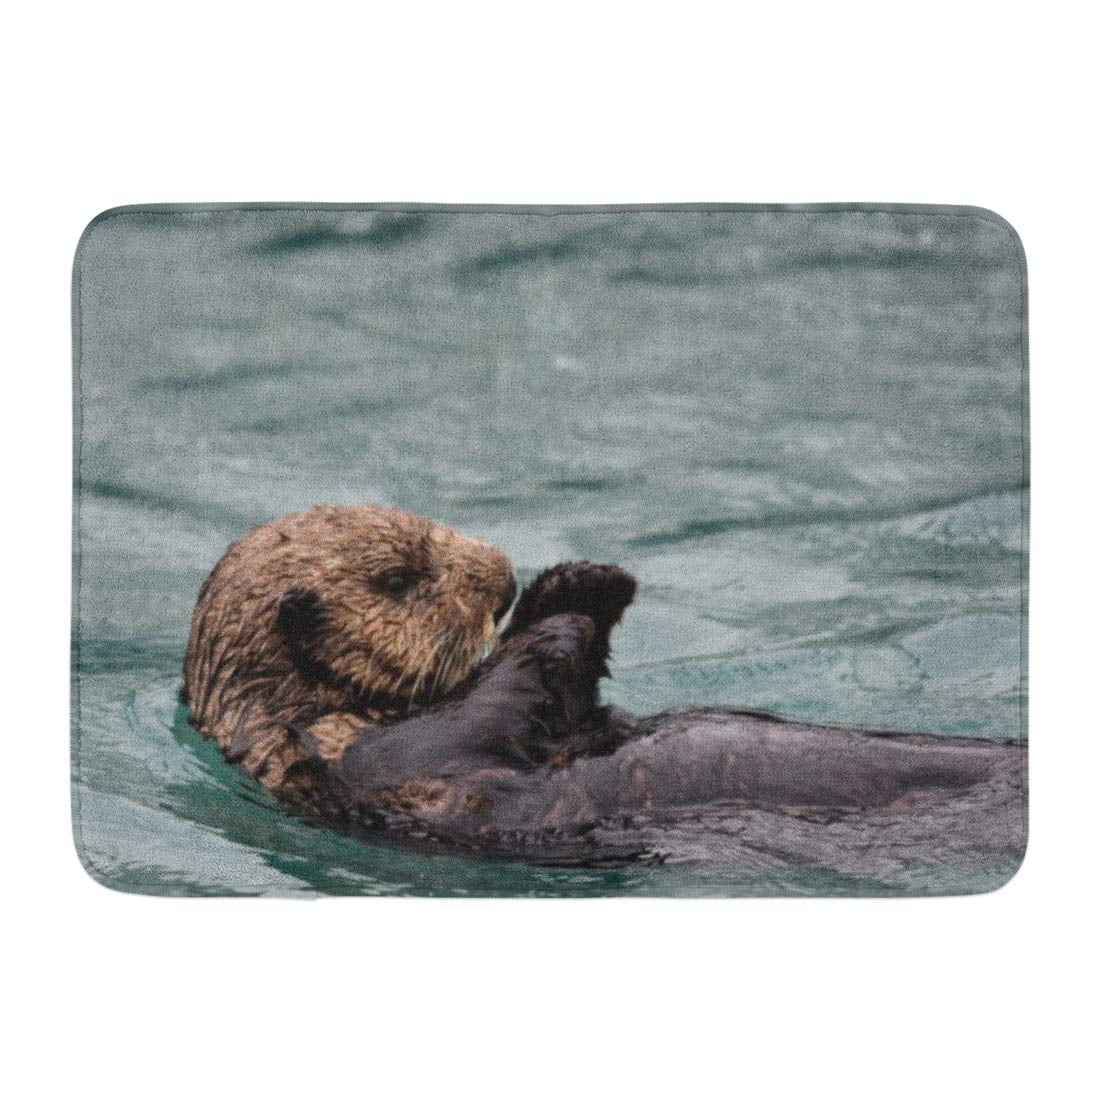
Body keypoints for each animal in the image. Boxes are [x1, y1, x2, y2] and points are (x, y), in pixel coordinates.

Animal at [183, 505, 1026, 879]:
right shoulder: (391, 764)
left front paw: (582, 579)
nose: (501, 575)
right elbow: (513, 694)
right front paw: (571, 593)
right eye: (400, 579)